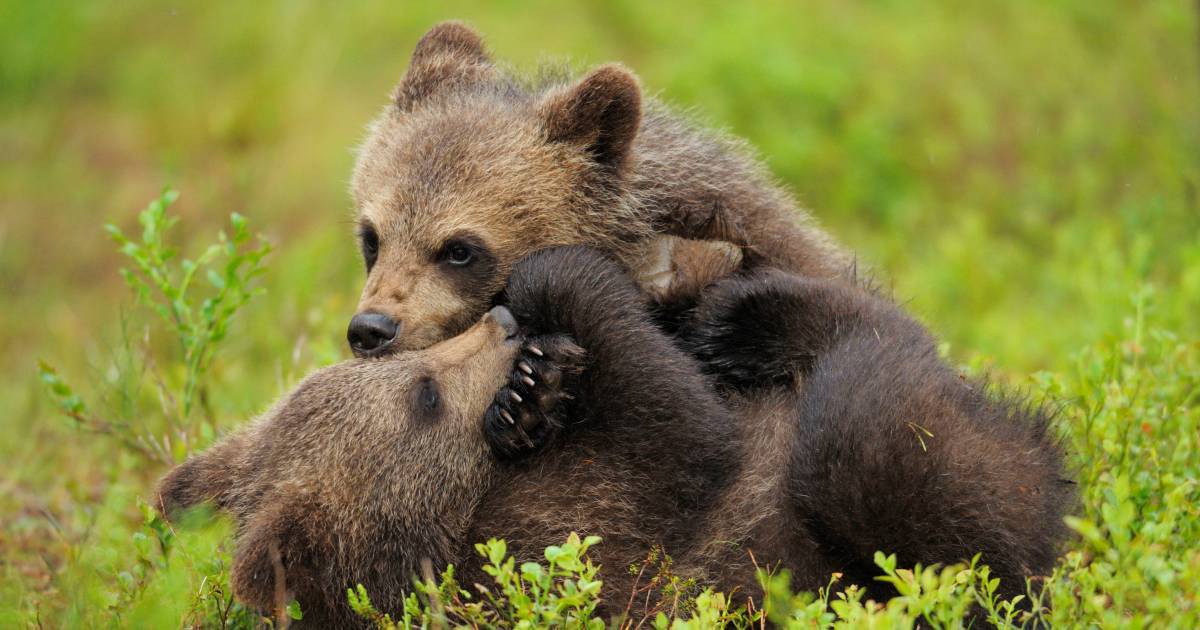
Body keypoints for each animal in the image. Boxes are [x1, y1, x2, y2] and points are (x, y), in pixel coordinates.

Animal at [157, 246, 1071, 628]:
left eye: (404, 369)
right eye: (423, 397)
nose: (499, 325)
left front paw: (540, 380)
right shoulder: (568, 542)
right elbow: (680, 435)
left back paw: (747, 314)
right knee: (881, 442)